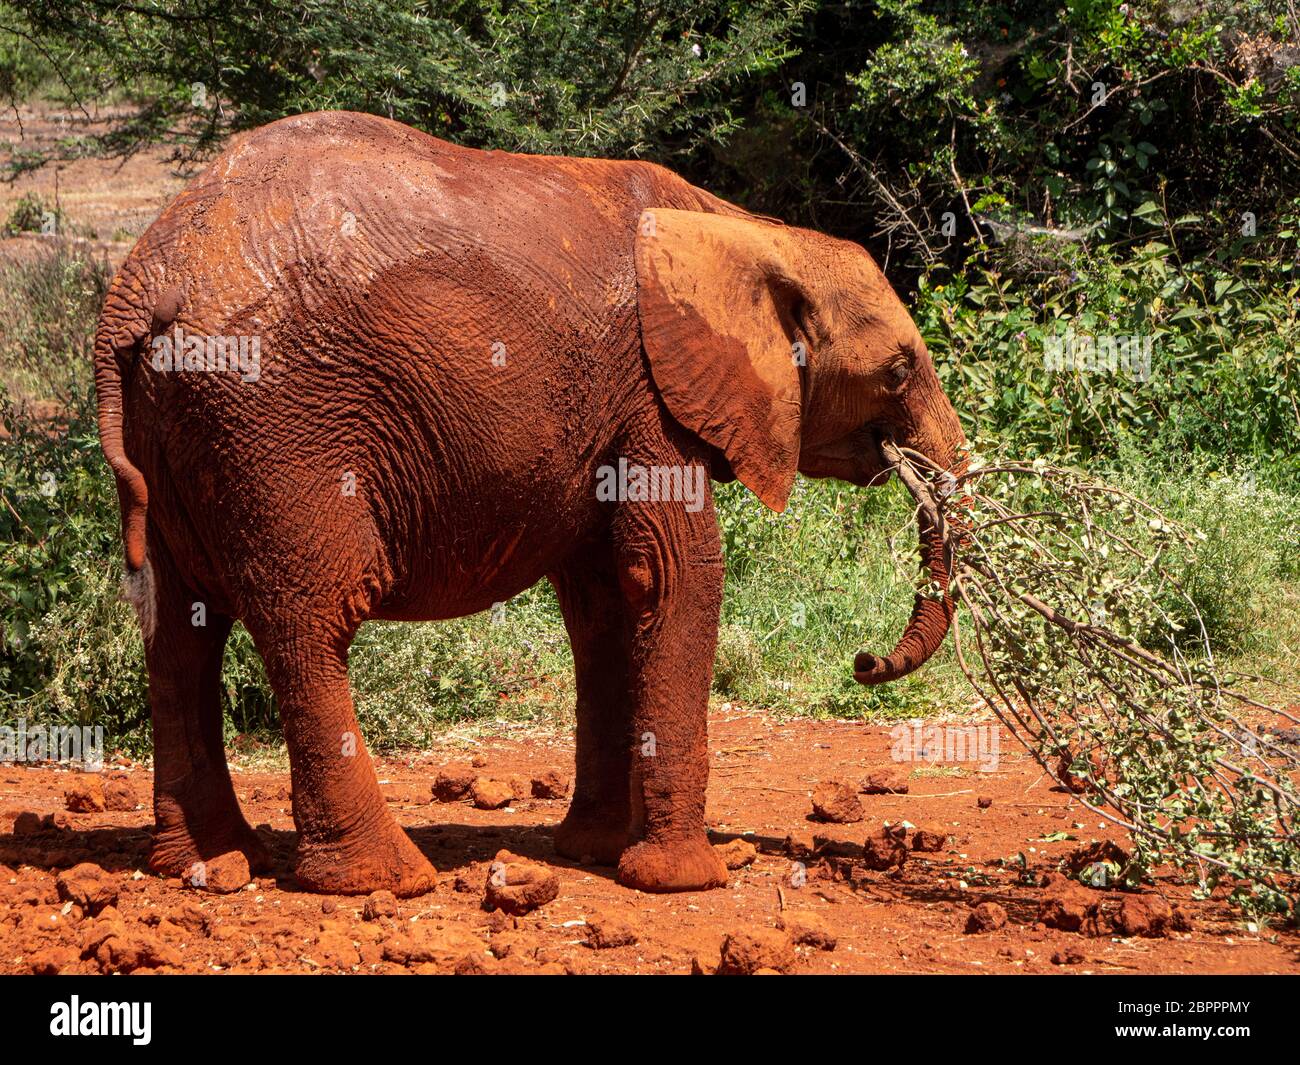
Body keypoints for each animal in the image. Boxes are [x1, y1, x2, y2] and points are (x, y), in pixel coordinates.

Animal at [94, 110, 966, 896]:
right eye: (897, 370)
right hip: (276, 422)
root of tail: (141, 282)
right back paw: (384, 879)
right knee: (309, 618)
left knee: (177, 628)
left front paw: (591, 849)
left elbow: (603, 602)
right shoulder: (651, 399)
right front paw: (682, 880)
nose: (864, 661)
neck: (751, 232)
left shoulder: (611, 414)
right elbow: (677, 577)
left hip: (176, 423)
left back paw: (210, 864)